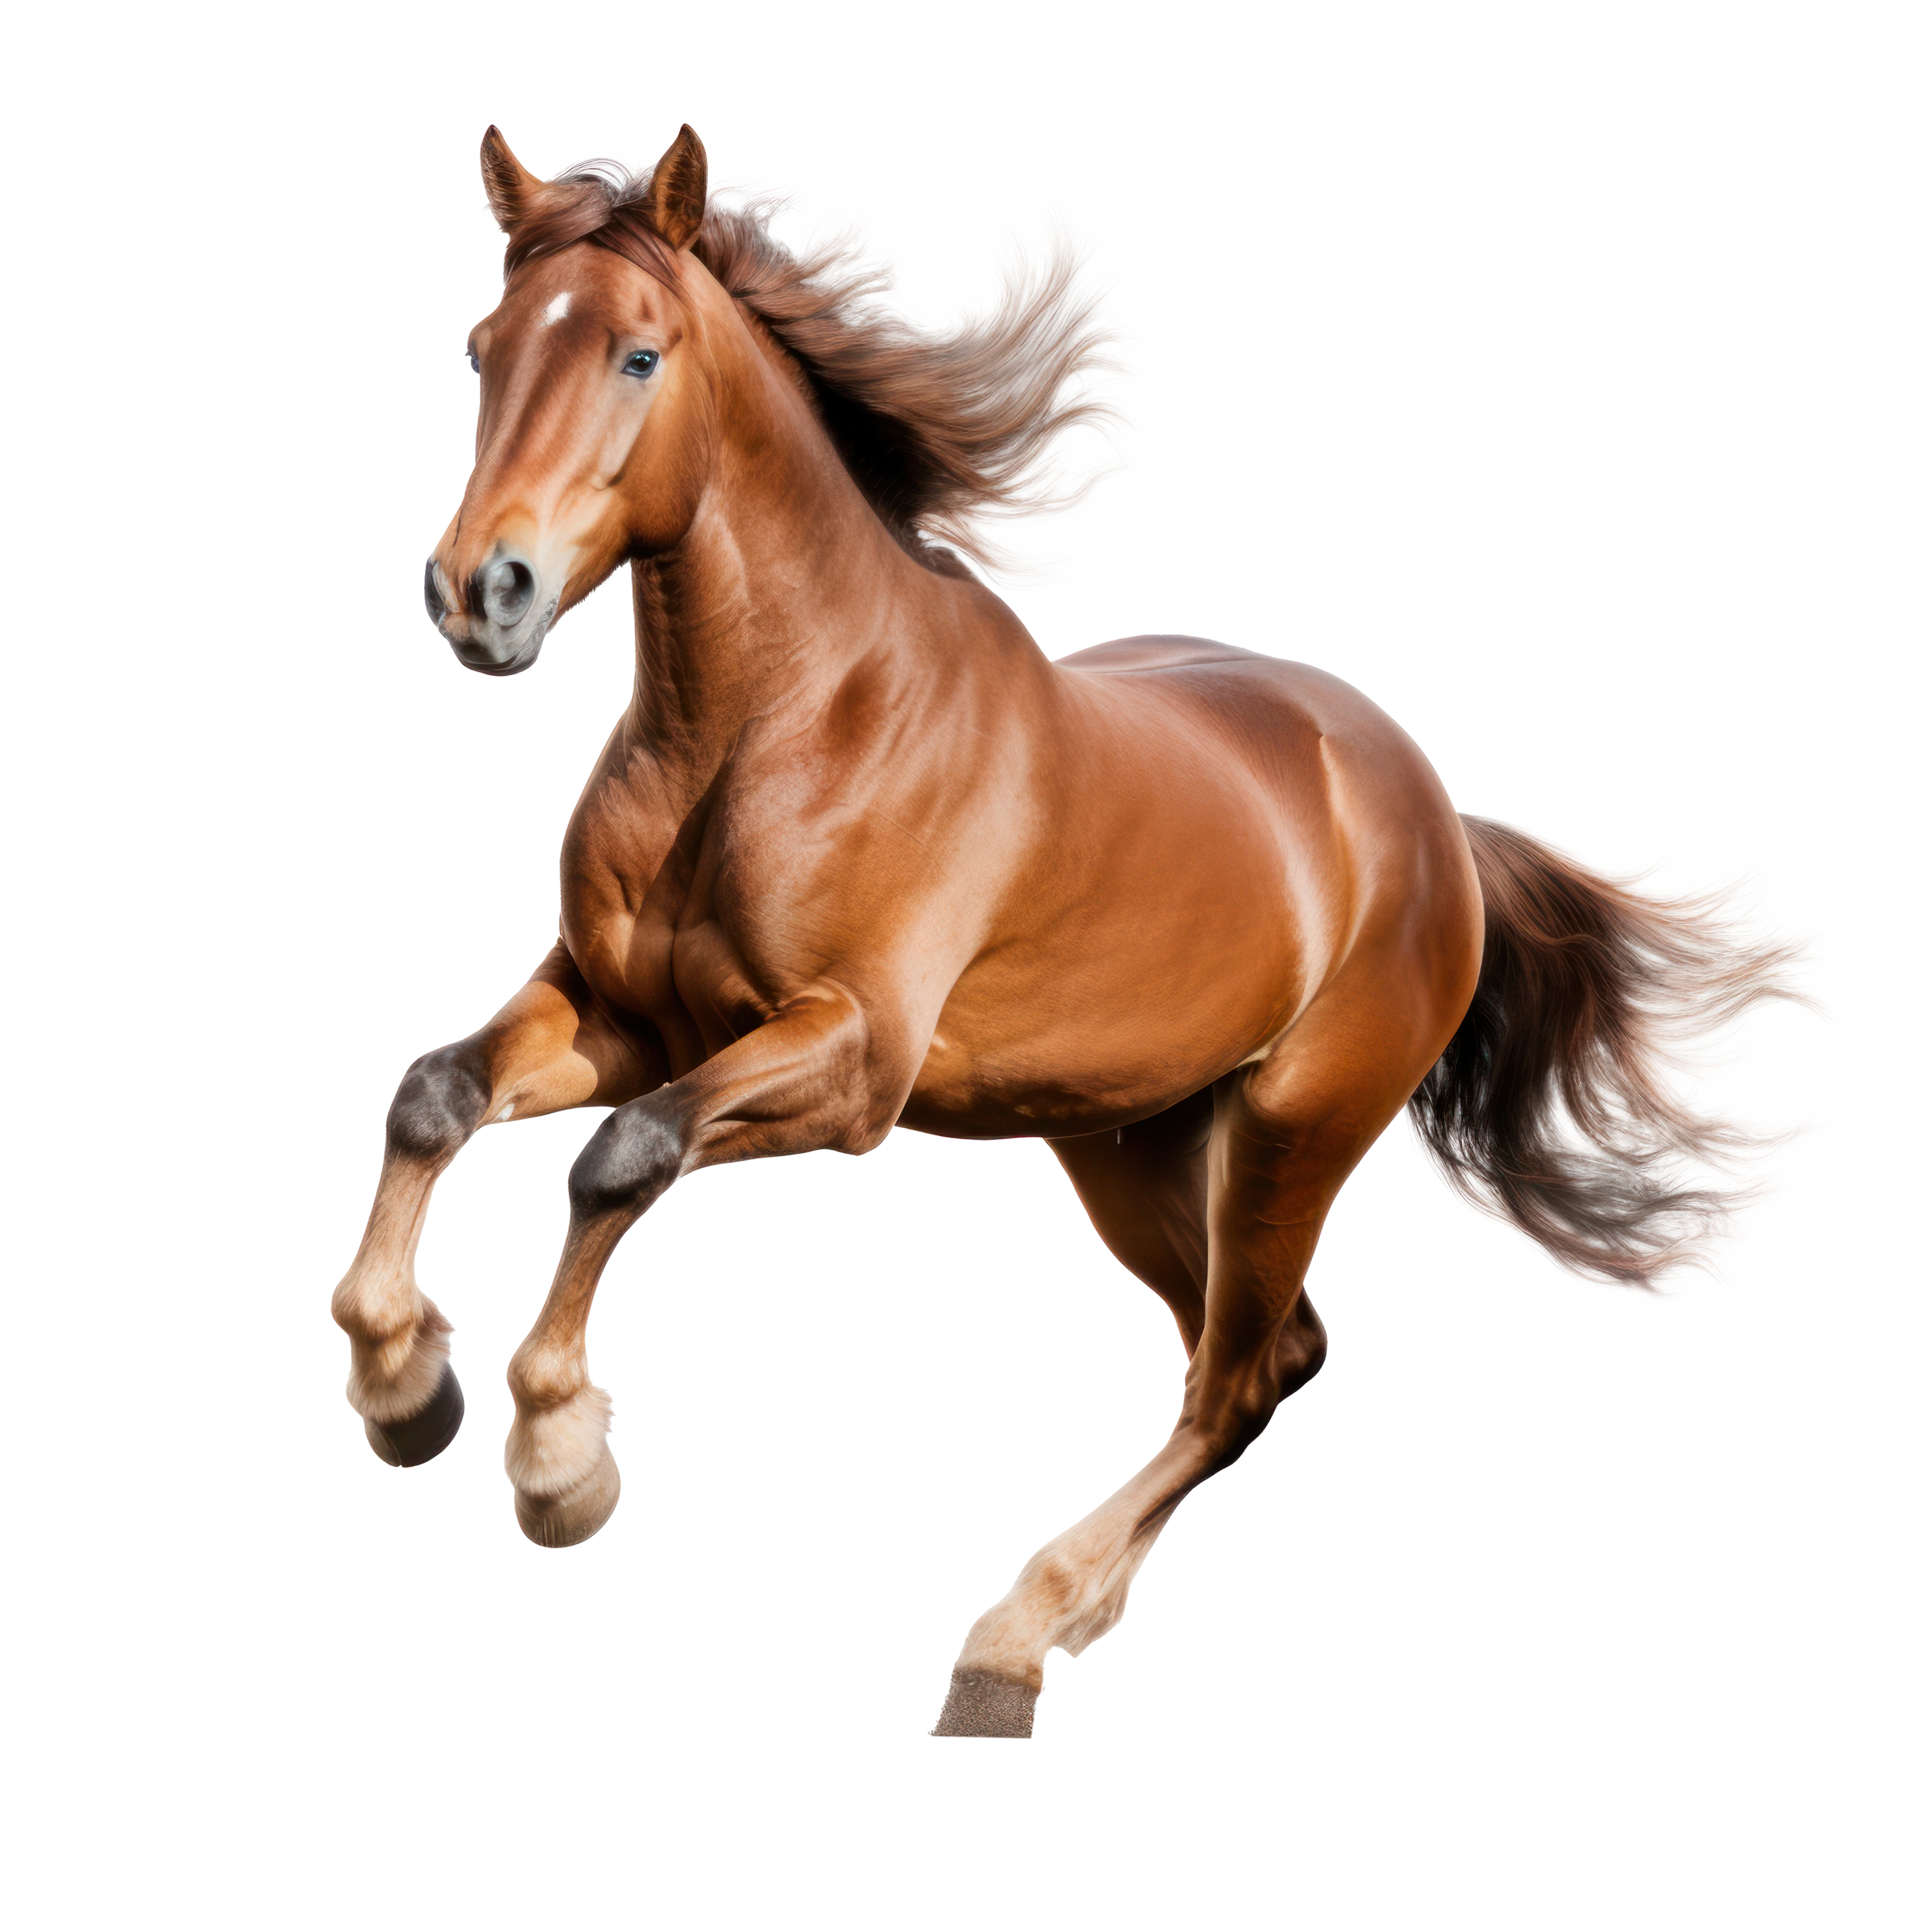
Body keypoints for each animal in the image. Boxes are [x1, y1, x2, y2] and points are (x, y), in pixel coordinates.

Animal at [330, 124, 1828, 1738]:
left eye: (638, 356)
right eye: (484, 349)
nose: (480, 594)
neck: (775, 718)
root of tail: (1432, 818)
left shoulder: (850, 1061)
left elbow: (624, 1155)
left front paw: (558, 1464)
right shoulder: (620, 1017)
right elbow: (434, 1097)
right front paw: (404, 1388)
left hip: (1292, 1129)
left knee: (1235, 1377)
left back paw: (1011, 1640)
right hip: (1130, 1144)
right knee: (1269, 1354)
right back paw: (1054, 1621)